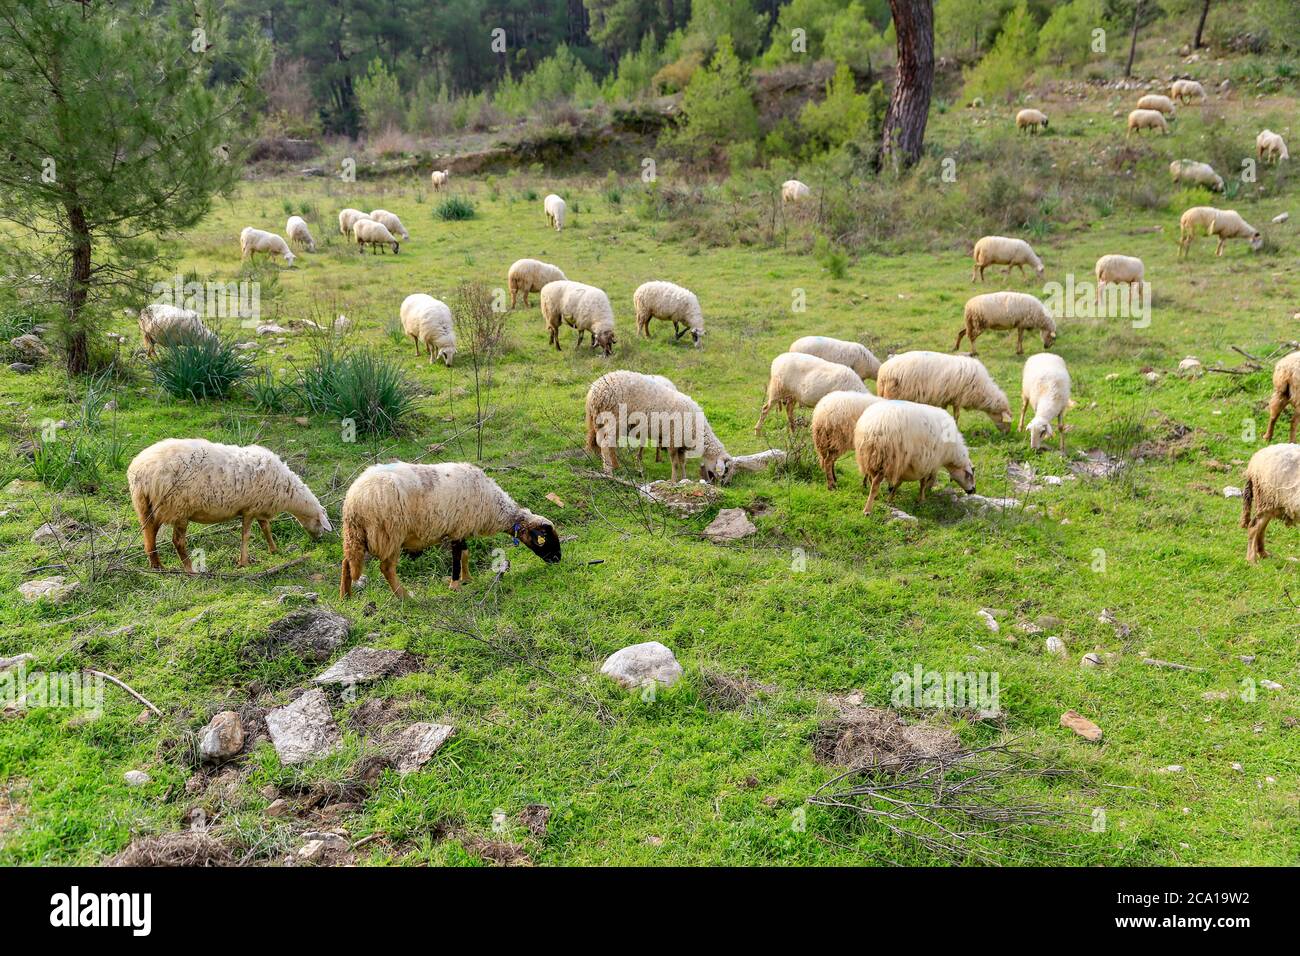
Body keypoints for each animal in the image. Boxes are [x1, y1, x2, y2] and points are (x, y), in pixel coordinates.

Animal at [127, 438, 330, 572]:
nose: (319, 539)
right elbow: (246, 535)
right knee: (178, 541)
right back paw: (190, 570)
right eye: (320, 523)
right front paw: (244, 562)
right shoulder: (250, 508)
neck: (287, 490)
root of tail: (139, 470)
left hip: (148, 507)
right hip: (177, 508)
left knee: (149, 536)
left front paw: (274, 549)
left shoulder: (259, 507)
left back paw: (157, 566)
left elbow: (265, 528)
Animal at [339, 462, 560, 597]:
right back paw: (405, 597)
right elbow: (456, 557)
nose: (558, 560)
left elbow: (465, 554)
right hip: (389, 534)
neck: (493, 507)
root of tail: (353, 500)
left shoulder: (460, 528)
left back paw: (346, 597)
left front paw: (467, 578)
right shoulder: (457, 528)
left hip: (357, 535)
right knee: (386, 568)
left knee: (347, 562)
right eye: (544, 539)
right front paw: (455, 585)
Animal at [585, 370, 732, 483]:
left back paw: (613, 465)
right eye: (726, 471)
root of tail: (595, 390)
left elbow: (682, 463)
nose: (724, 484)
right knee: (605, 444)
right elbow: (675, 464)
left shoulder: (681, 444)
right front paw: (673, 481)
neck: (698, 430)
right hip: (614, 419)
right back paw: (609, 471)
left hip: (598, 421)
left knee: (601, 442)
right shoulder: (672, 439)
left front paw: (684, 479)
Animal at [876, 351, 1012, 432]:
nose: (1007, 433)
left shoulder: (945, 398)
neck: (983, 390)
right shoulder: (958, 398)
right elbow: (956, 415)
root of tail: (883, 371)